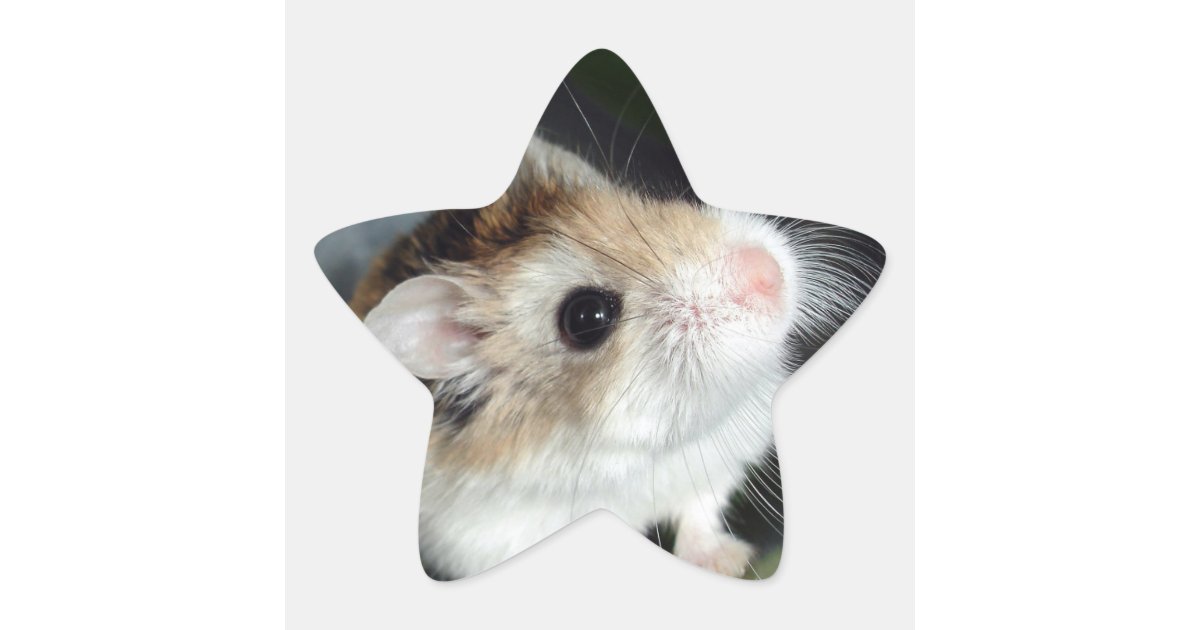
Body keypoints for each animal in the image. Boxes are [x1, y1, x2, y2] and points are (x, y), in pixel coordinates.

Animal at [351, 136, 882, 580]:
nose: (767, 273)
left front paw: (727, 561)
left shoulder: (721, 461)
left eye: (647, 200)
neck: (644, 448)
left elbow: (700, 511)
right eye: (587, 317)